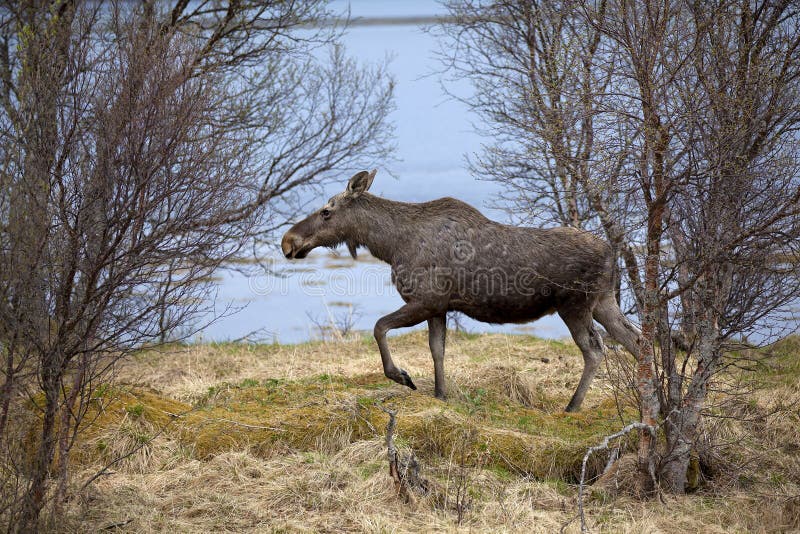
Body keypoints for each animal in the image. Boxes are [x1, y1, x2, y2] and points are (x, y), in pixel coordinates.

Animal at [281, 170, 641, 411]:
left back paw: (573, 406)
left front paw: (402, 376)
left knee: (595, 349)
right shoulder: (439, 307)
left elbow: (379, 327)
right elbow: (437, 349)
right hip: (603, 301)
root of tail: (612, 253)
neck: (391, 245)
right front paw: (440, 394)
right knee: (636, 339)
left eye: (327, 211)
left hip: (574, 304)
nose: (288, 241)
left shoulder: (425, 300)